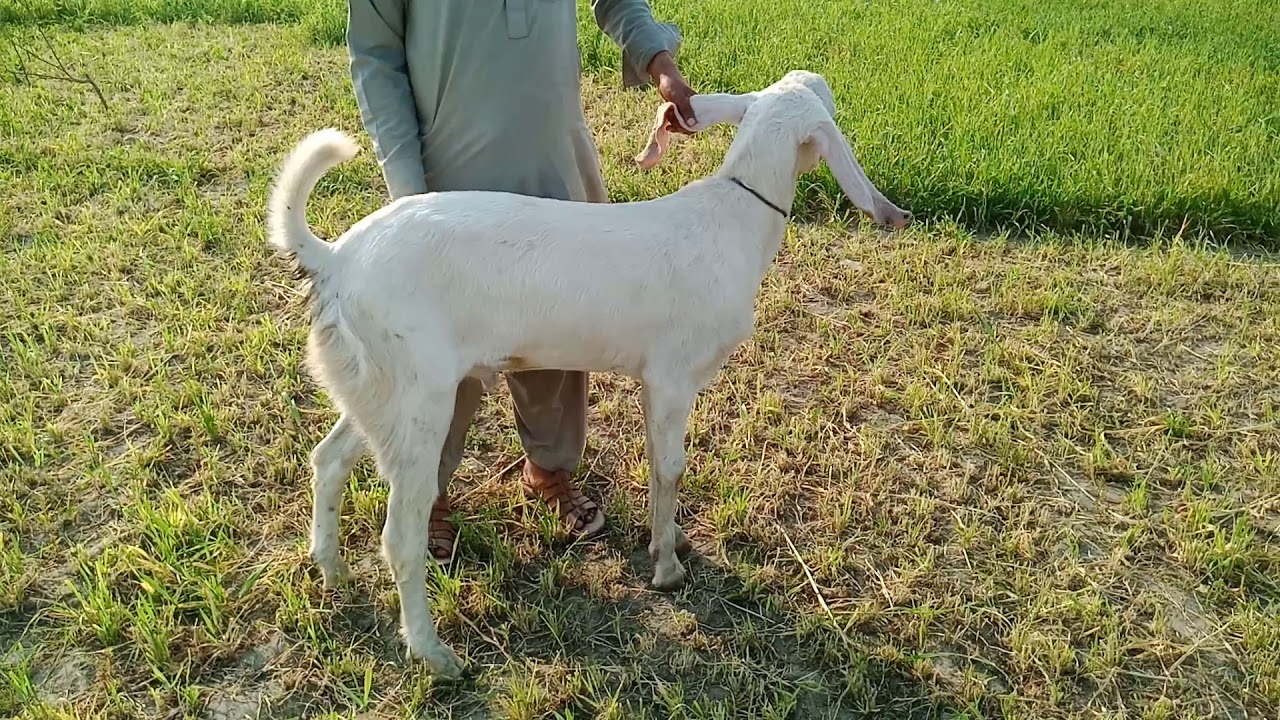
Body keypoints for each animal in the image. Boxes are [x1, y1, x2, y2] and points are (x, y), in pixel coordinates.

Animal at [266, 70, 911, 678]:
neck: (733, 217)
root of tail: (335, 260)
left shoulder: (653, 380)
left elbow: (656, 463)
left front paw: (671, 539)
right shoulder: (673, 375)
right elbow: (671, 467)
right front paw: (668, 569)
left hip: (375, 385)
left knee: (329, 458)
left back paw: (333, 571)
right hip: (420, 393)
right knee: (400, 532)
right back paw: (435, 654)